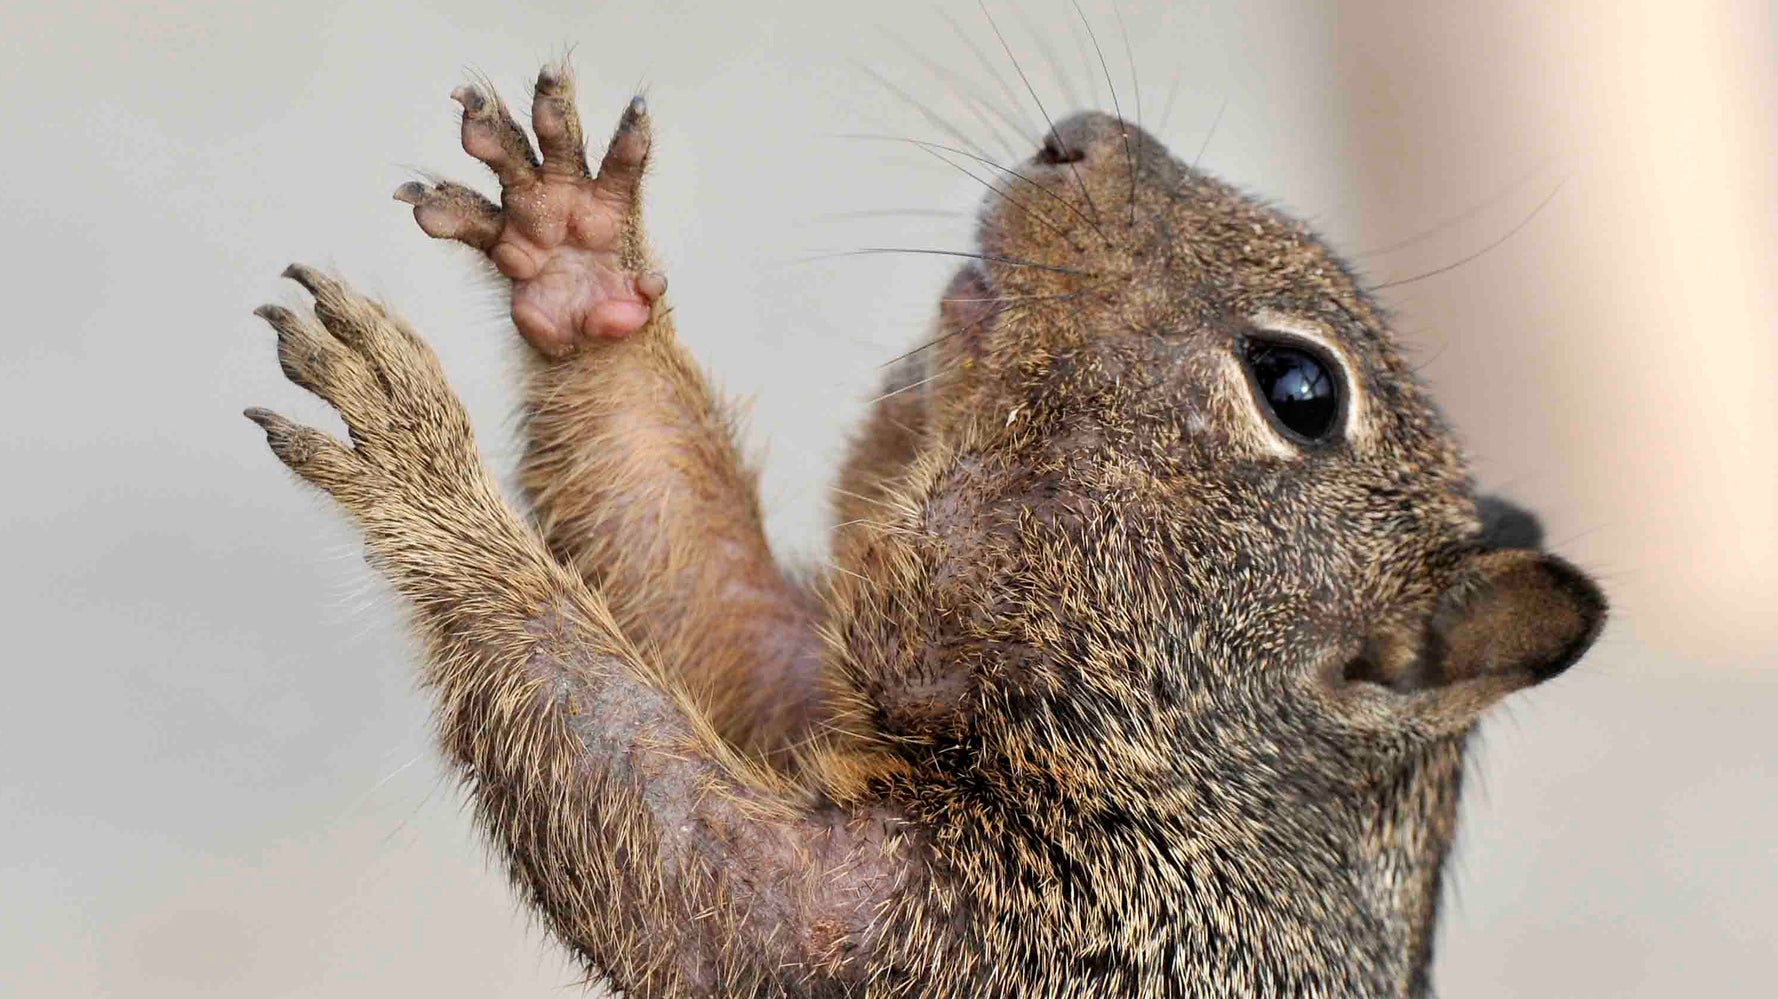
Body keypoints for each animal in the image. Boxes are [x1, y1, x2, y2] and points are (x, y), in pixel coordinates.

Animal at [245, 61, 1607, 997]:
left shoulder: (1041, 929)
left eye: (1300, 390)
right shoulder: (828, 699)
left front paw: (433, 479)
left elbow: (695, 879)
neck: (1207, 791)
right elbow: (717, 614)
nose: (1077, 137)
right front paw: (574, 257)